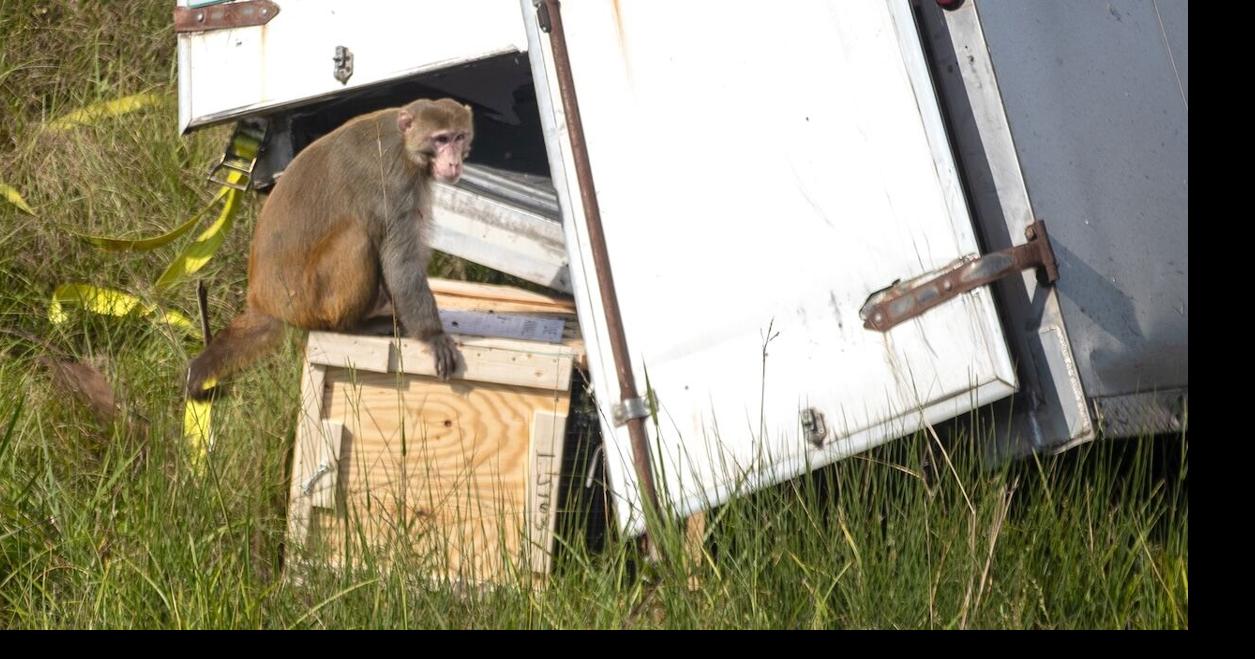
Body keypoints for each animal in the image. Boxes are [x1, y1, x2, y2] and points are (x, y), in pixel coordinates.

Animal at [186, 98, 473, 399]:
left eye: (459, 137)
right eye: (441, 139)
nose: (453, 162)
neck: (406, 144)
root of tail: (265, 306)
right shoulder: (397, 182)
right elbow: (400, 263)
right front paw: (433, 335)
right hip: (310, 301)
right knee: (357, 235)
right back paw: (354, 326)